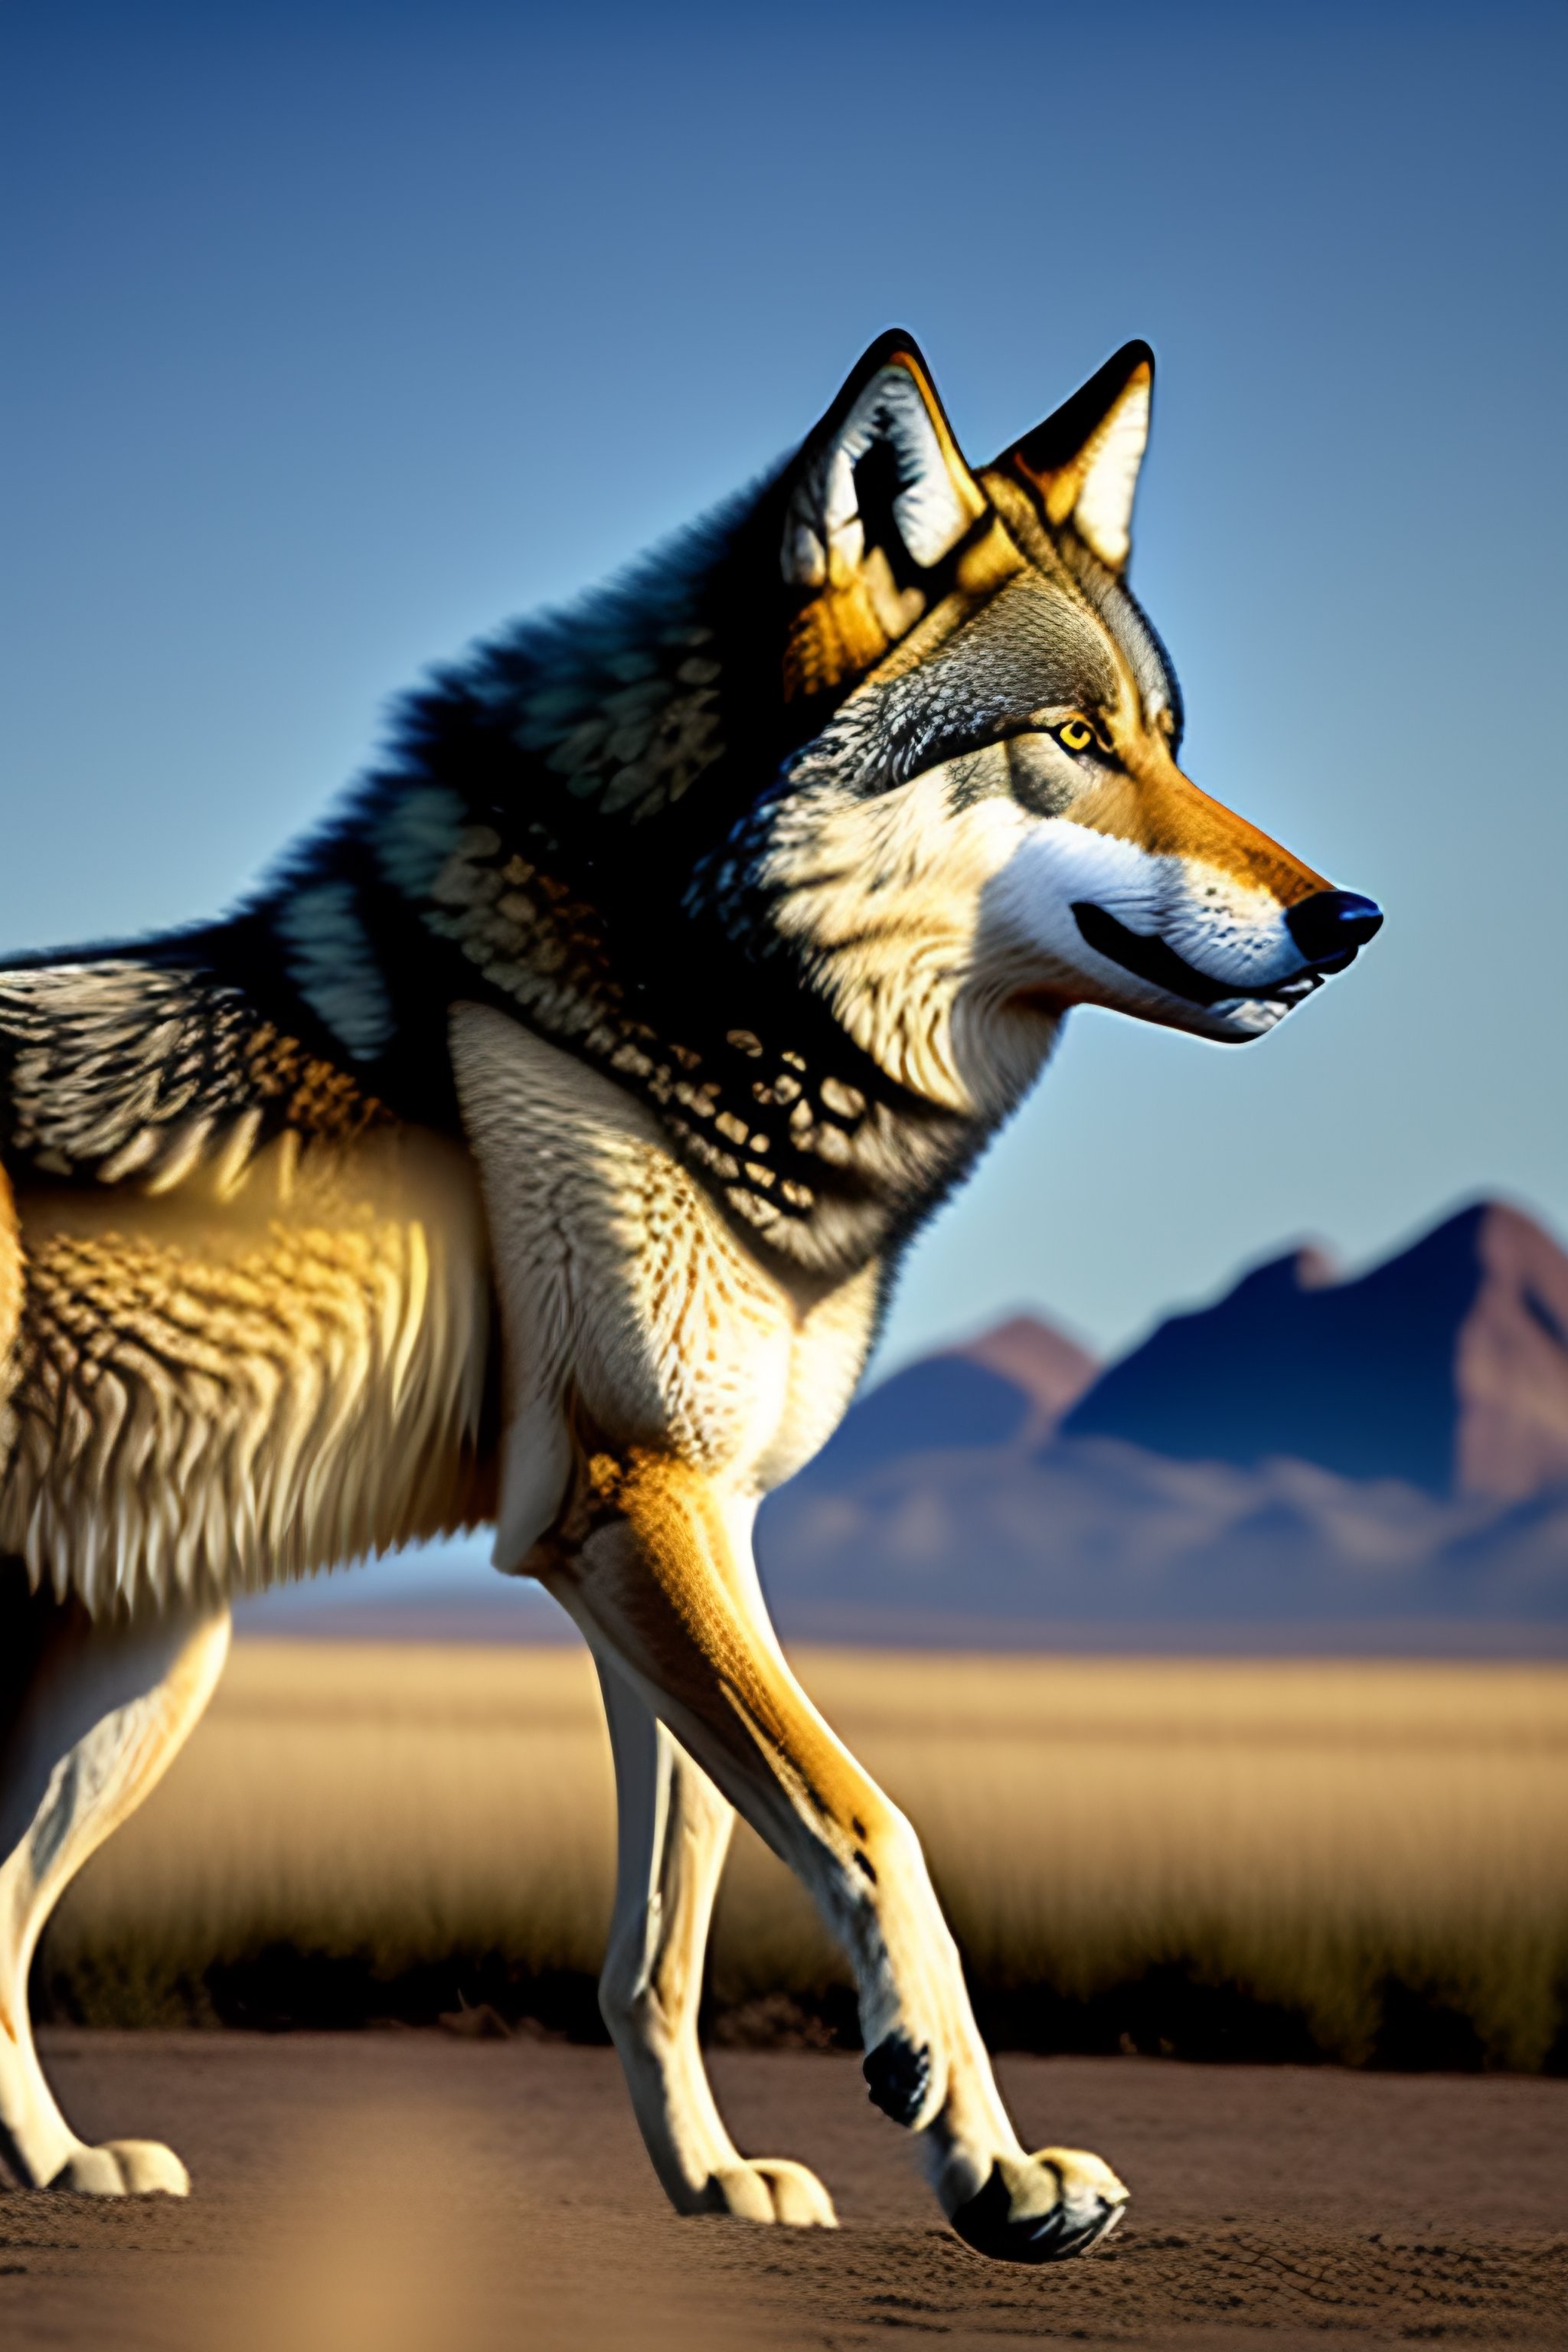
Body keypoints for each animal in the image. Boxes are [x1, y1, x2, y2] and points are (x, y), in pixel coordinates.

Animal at [0, 333, 1379, 2257]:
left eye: (1168, 741)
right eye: (1073, 740)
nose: (1348, 920)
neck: (691, 1017)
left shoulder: (696, 1520)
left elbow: (667, 1926)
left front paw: (718, 2176)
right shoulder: (629, 1503)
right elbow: (873, 1829)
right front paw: (982, 2159)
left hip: (150, 1669)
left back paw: (62, 2159)